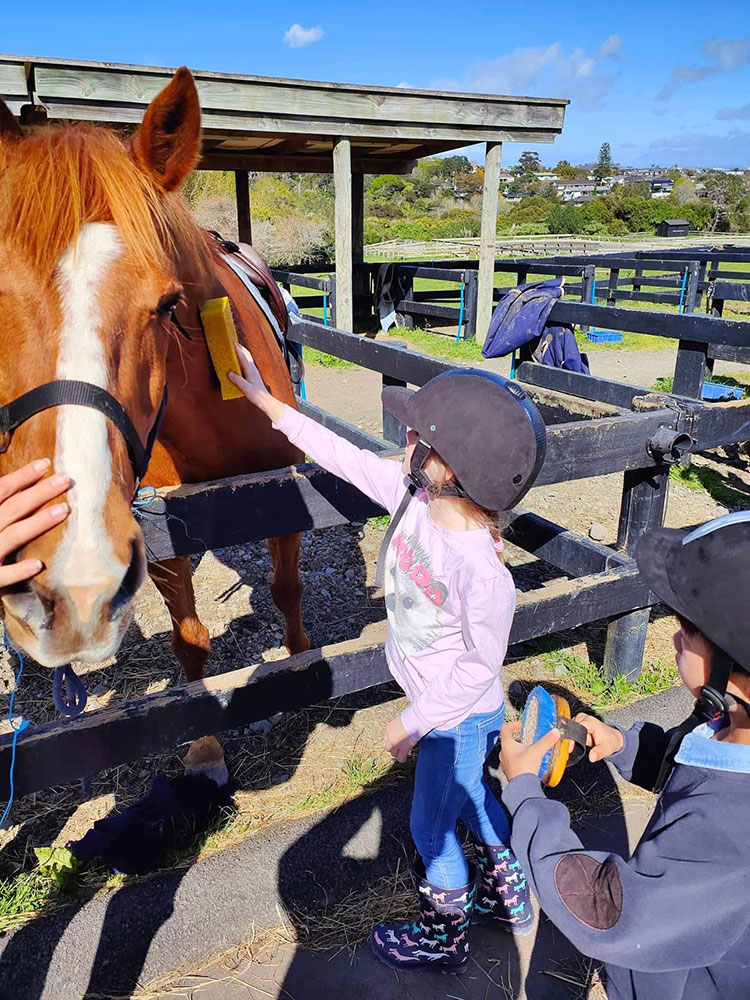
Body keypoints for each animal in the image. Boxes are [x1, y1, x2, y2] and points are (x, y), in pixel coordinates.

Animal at [0, 69, 309, 764]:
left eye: (168, 305)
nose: (75, 584)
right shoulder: (162, 526)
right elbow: (188, 635)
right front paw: (203, 745)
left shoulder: (285, 490)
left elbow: (287, 590)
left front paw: (302, 671)